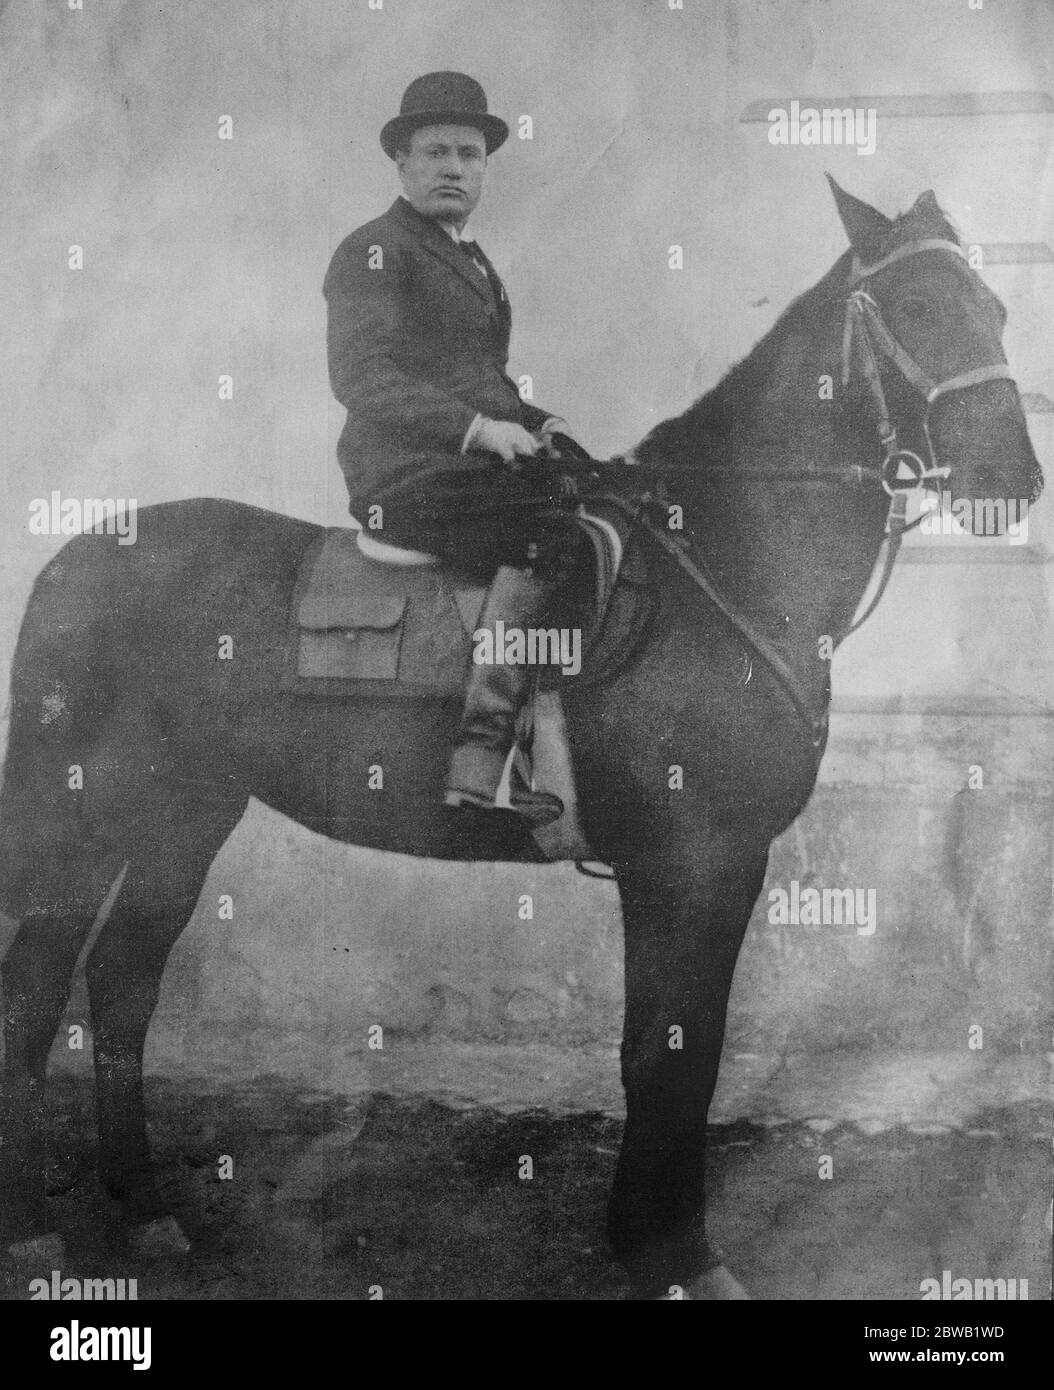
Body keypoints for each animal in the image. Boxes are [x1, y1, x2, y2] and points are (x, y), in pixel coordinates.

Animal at [0, 180, 1041, 1299]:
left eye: (996, 308)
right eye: (918, 306)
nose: (1012, 479)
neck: (722, 565)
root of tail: (78, 551)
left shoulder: (698, 869)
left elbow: (663, 1048)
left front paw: (642, 1236)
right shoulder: (695, 862)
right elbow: (675, 1053)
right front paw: (680, 1253)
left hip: (187, 812)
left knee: (123, 983)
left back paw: (145, 1209)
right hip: (84, 815)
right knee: (36, 988)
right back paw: (34, 1230)